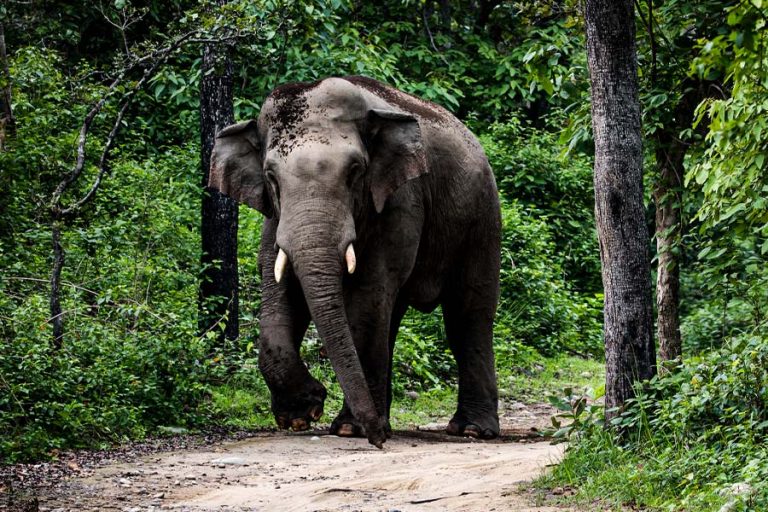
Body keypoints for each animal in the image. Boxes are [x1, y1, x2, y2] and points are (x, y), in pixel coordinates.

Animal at [209, 76, 500, 448]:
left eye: (355, 171)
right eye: (270, 176)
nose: (379, 441)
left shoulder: (399, 199)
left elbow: (367, 293)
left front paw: (350, 428)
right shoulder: (275, 216)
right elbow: (280, 291)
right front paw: (303, 414)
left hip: (482, 219)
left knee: (467, 316)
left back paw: (472, 430)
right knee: (394, 317)